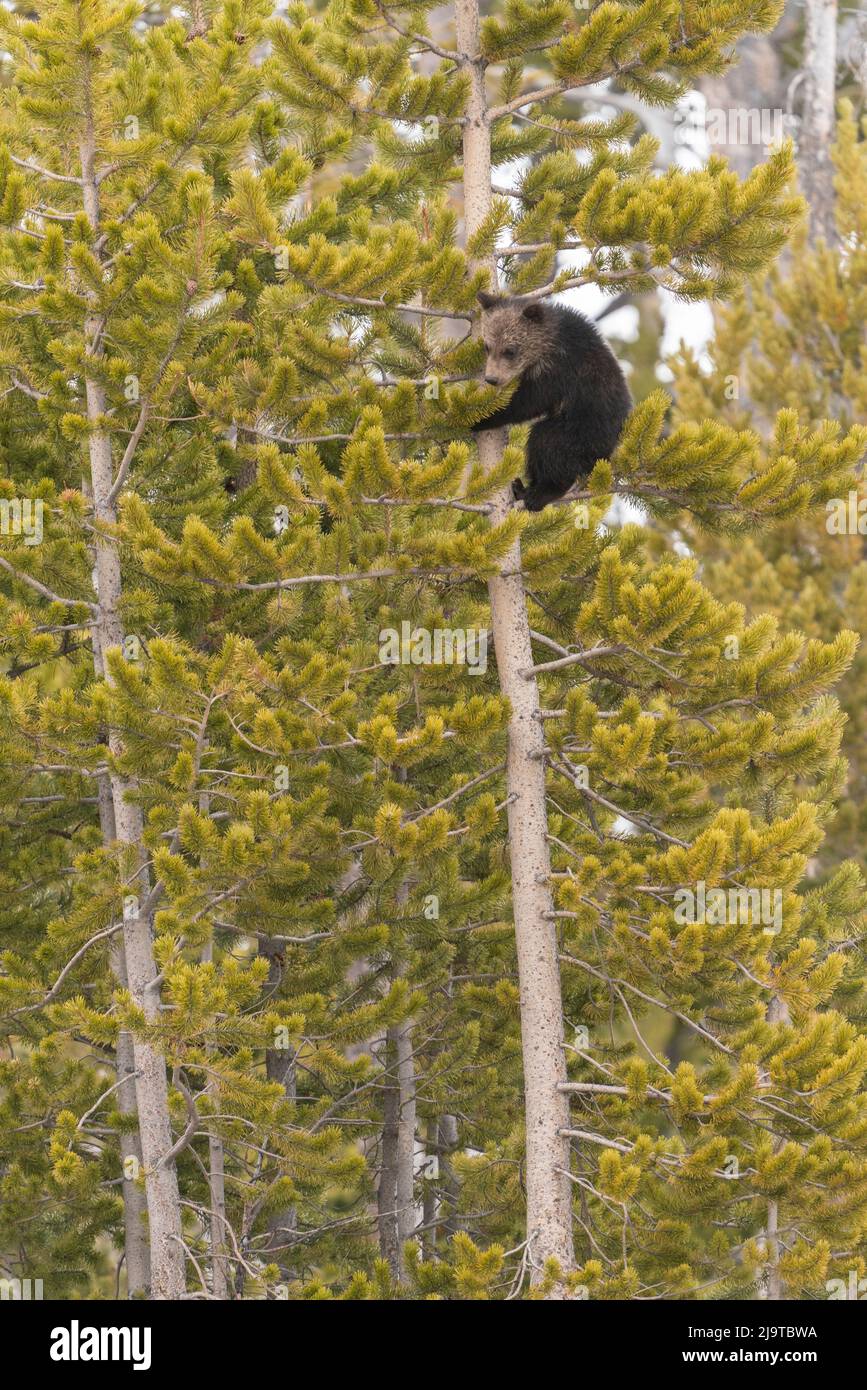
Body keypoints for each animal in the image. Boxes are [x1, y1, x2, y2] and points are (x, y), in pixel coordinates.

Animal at [471, 291, 632, 512]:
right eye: (488, 346)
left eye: (510, 350)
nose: (492, 378)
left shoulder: (559, 371)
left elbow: (527, 403)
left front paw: (475, 418)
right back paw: (521, 487)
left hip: (581, 431)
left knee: (546, 443)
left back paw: (540, 494)